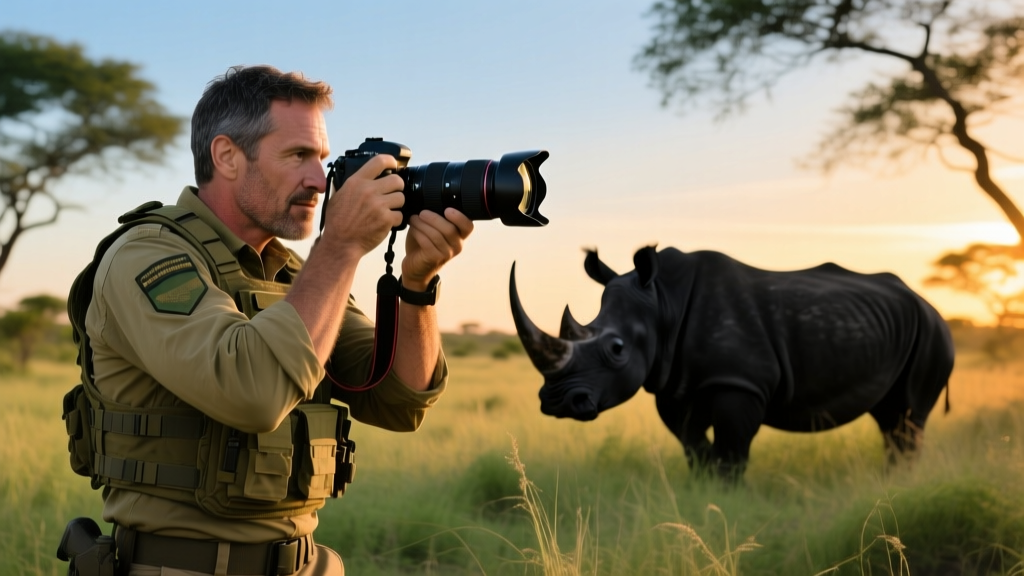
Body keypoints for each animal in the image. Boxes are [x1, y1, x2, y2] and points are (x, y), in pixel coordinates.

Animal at [509, 246, 954, 480]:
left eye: (617, 349)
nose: (557, 402)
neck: (663, 302)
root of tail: (931, 305)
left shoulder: (739, 382)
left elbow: (732, 451)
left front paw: (725, 498)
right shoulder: (672, 385)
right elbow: (693, 445)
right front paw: (703, 487)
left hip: (933, 332)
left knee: (910, 415)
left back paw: (900, 481)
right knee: (890, 415)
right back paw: (891, 480)